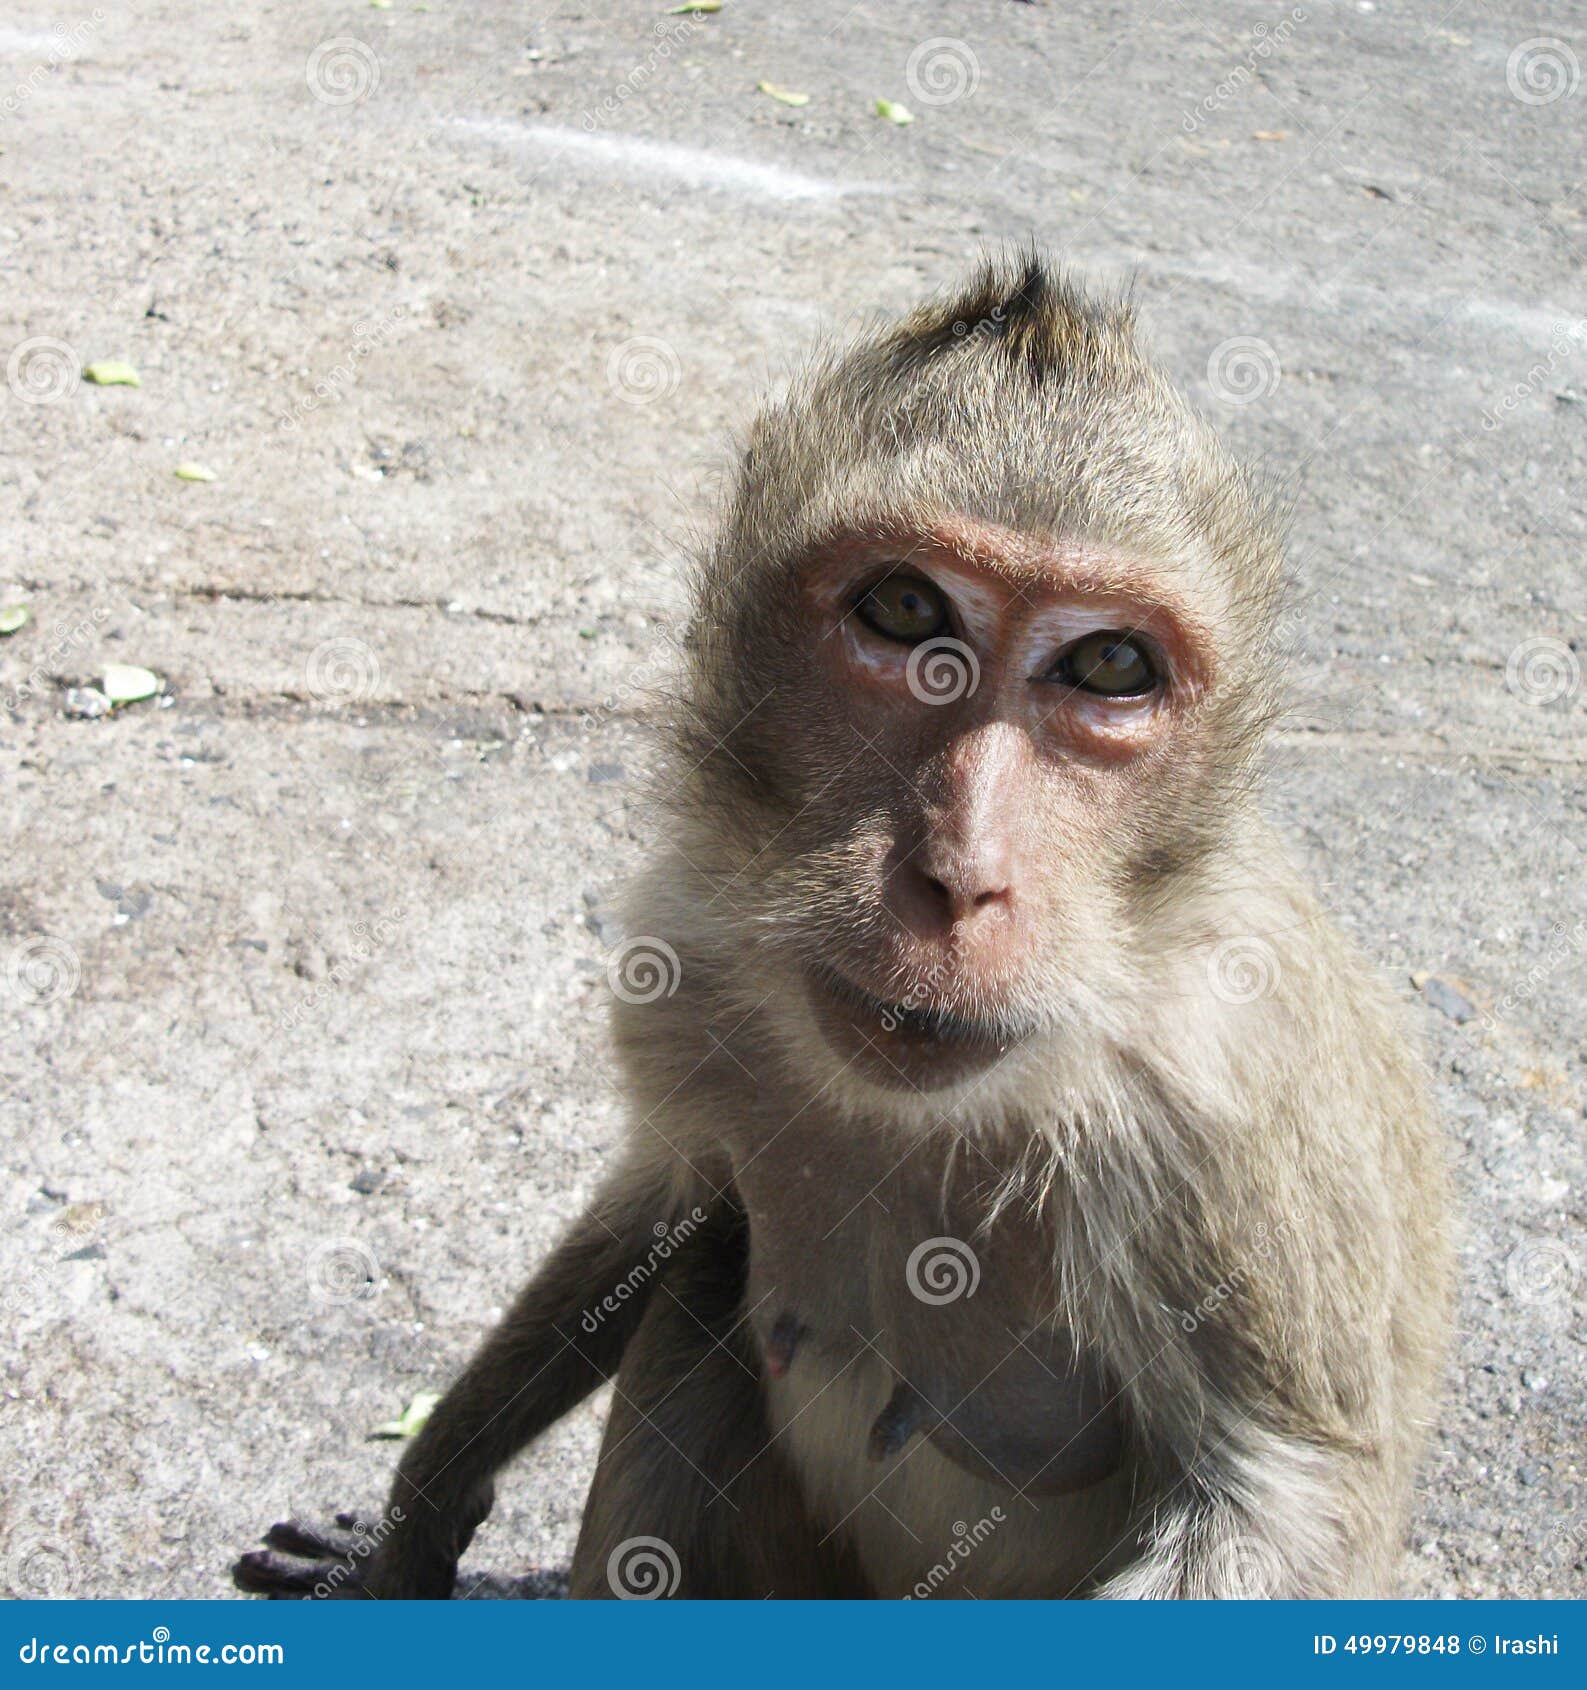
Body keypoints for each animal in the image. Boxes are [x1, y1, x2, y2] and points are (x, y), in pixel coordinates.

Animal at [236, 253, 1451, 1601]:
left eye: (1110, 665)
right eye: (908, 608)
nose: (962, 875)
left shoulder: (1219, 1105)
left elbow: (1286, 1495)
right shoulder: (691, 951)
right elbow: (667, 1201)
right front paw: (417, 1509)